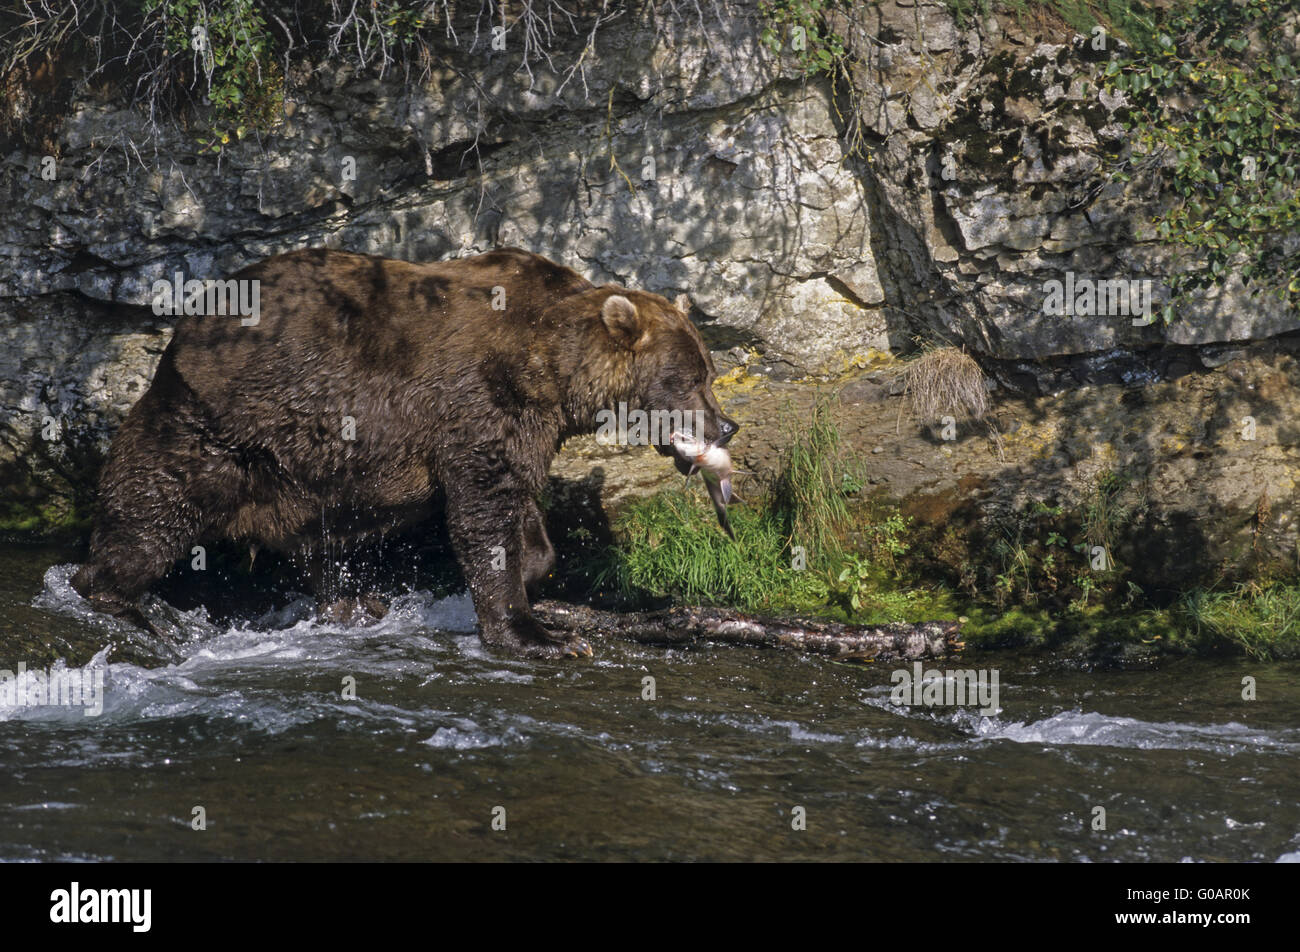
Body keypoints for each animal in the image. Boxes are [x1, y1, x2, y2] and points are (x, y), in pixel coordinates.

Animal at [70, 247, 739, 658]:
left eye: (707, 371)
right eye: (689, 377)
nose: (726, 426)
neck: (550, 368)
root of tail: (181, 330)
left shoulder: (520, 427)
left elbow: (517, 506)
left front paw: (532, 571)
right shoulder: (477, 403)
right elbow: (482, 513)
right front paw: (542, 635)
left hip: (299, 470)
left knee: (316, 537)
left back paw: (353, 603)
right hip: (218, 422)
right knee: (152, 507)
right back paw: (119, 600)